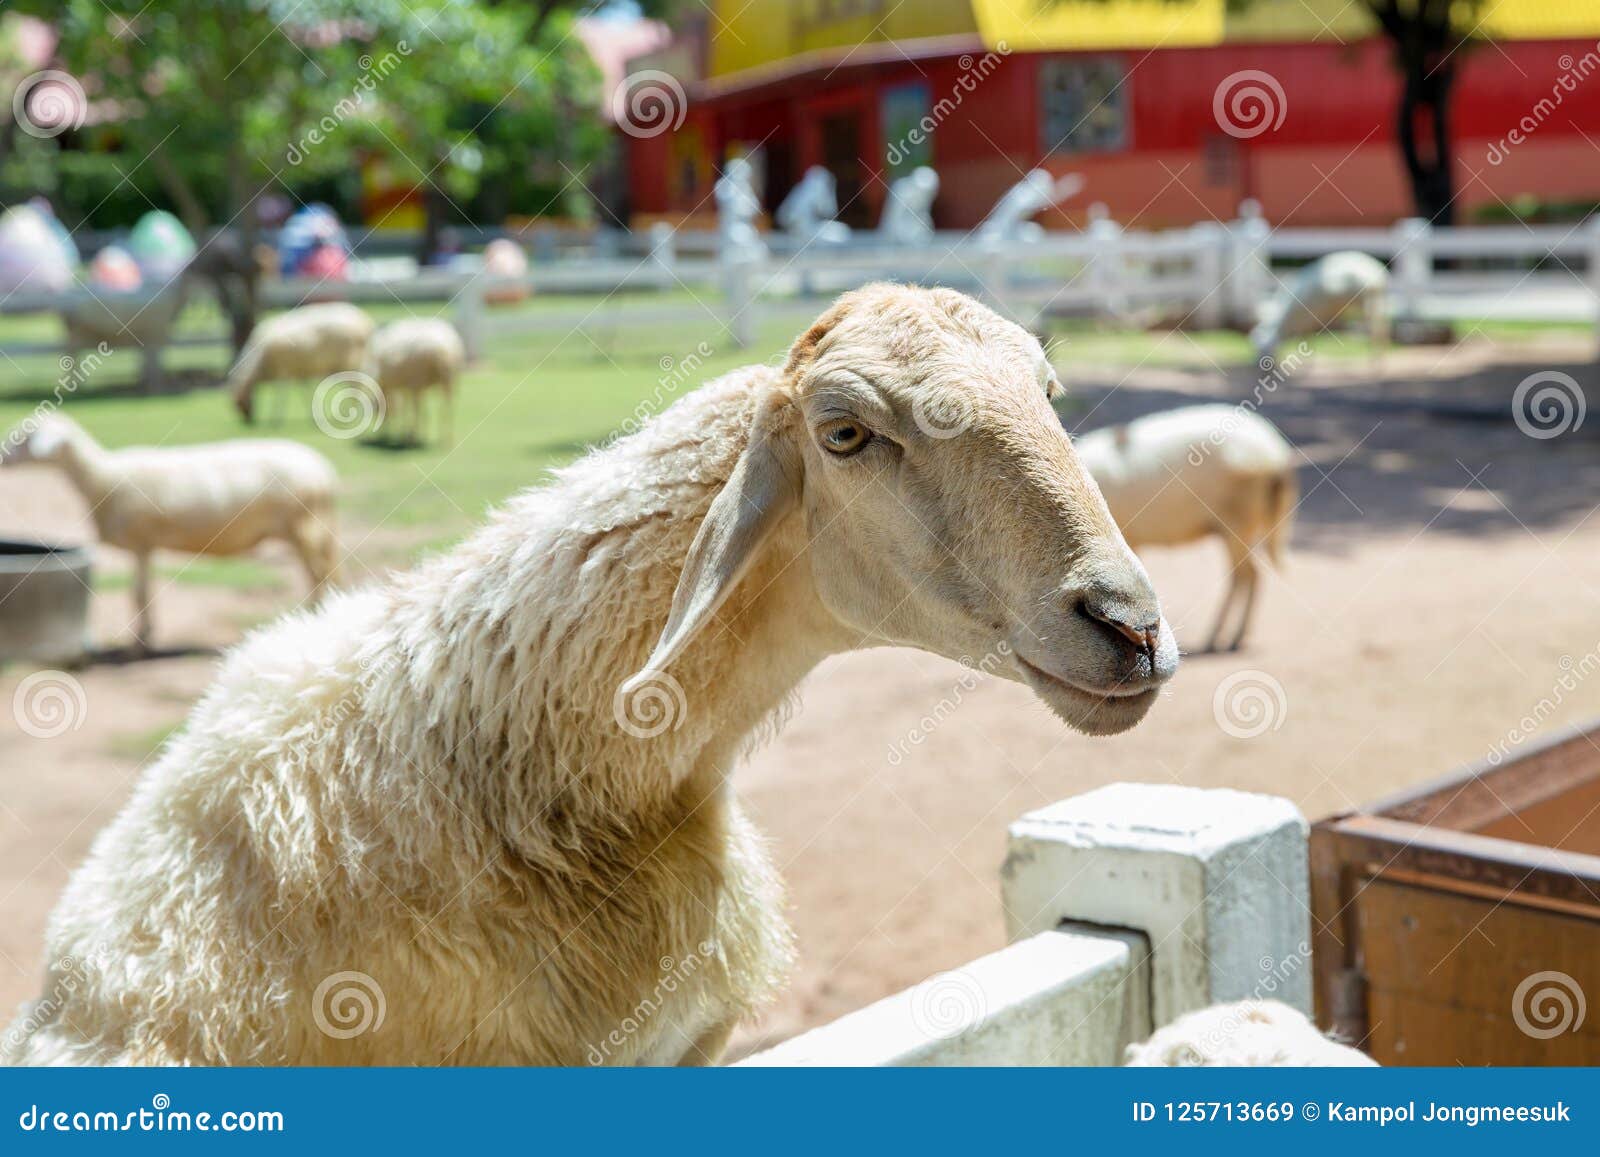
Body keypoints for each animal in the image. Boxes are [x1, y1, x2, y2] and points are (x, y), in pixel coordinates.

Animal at [0, 413, 339, 652]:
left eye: (25, 439)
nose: (2, 456)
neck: (101, 477)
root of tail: (324, 471)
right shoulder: (146, 547)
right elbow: (145, 592)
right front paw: (147, 634)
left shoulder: (139, 541)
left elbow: (137, 594)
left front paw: (139, 643)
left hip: (305, 526)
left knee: (319, 573)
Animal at [226, 302, 375, 424]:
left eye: (237, 403)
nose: (247, 421)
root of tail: (366, 322)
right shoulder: (299, 372)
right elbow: (305, 393)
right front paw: (312, 416)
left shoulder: (283, 370)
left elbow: (281, 394)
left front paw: (276, 420)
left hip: (351, 363)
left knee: (357, 385)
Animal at [367, 317, 465, 446]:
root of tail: (443, 347)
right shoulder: (405, 387)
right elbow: (406, 408)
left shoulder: (400, 386)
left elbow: (398, 409)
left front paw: (394, 435)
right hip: (450, 379)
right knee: (447, 406)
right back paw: (446, 439)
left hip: (419, 380)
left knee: (417, 410)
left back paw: (413, 438)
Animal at [1251, 250, 1389, 366]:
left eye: (1263, 346)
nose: (1258, 363)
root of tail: (1377, 271)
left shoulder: (1308, 319)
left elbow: (1307, 339)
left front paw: (1307, 361)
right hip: (1377, 302)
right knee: (1382, 328)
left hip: (1368, 303)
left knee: (1376, 330)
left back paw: (1375, 358)